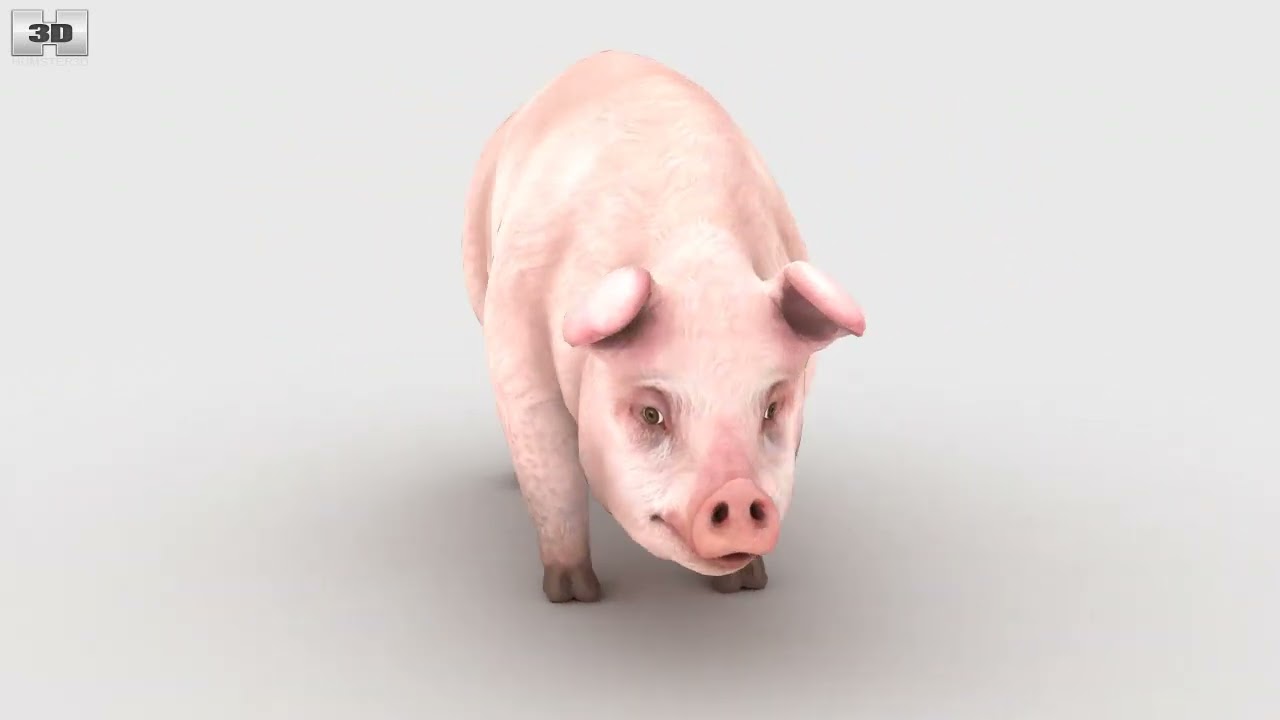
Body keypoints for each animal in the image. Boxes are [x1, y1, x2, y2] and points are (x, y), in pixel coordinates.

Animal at [461, 50, 866, 603]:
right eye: (651, 414)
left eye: (771, 408)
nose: (738, 494)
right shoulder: (517, 348)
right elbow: (553, 471)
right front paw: (575, 596)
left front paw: (746, 586)